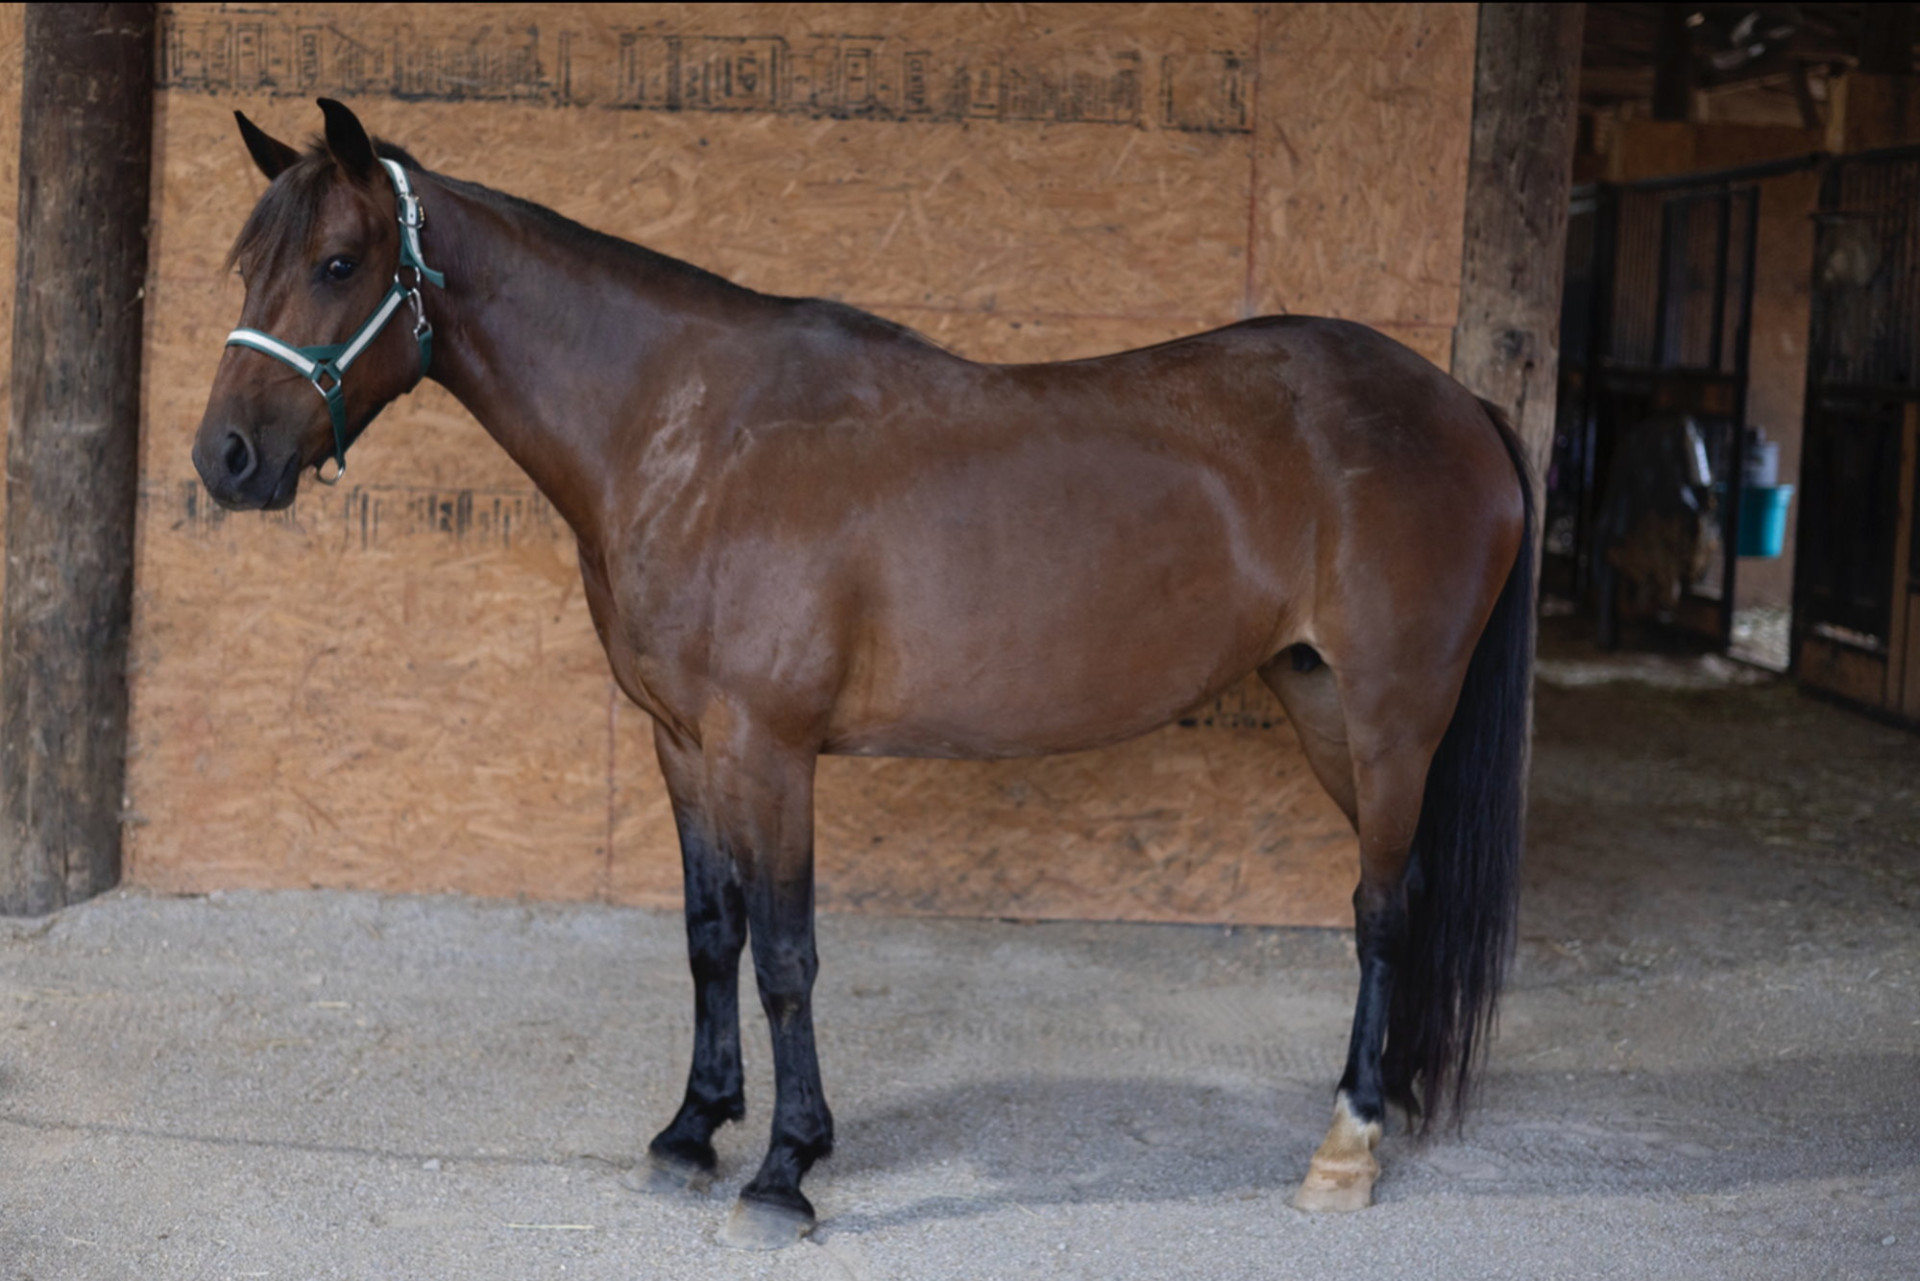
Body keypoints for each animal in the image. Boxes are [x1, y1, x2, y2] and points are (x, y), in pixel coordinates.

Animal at [192, 100, 1534, 1249]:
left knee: (1382, 908)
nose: (225, 459)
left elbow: (787, 958)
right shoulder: (685, 744)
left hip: (1391, 717)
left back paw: (1347, 1148)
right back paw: (1389, 1104)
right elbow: (711, 935)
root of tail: (1457, 400)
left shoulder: (769, 749)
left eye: (339, 263)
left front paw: (786, 1171)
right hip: (1319, 702)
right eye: (246, 266)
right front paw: (693, 1133)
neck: (686, 434)